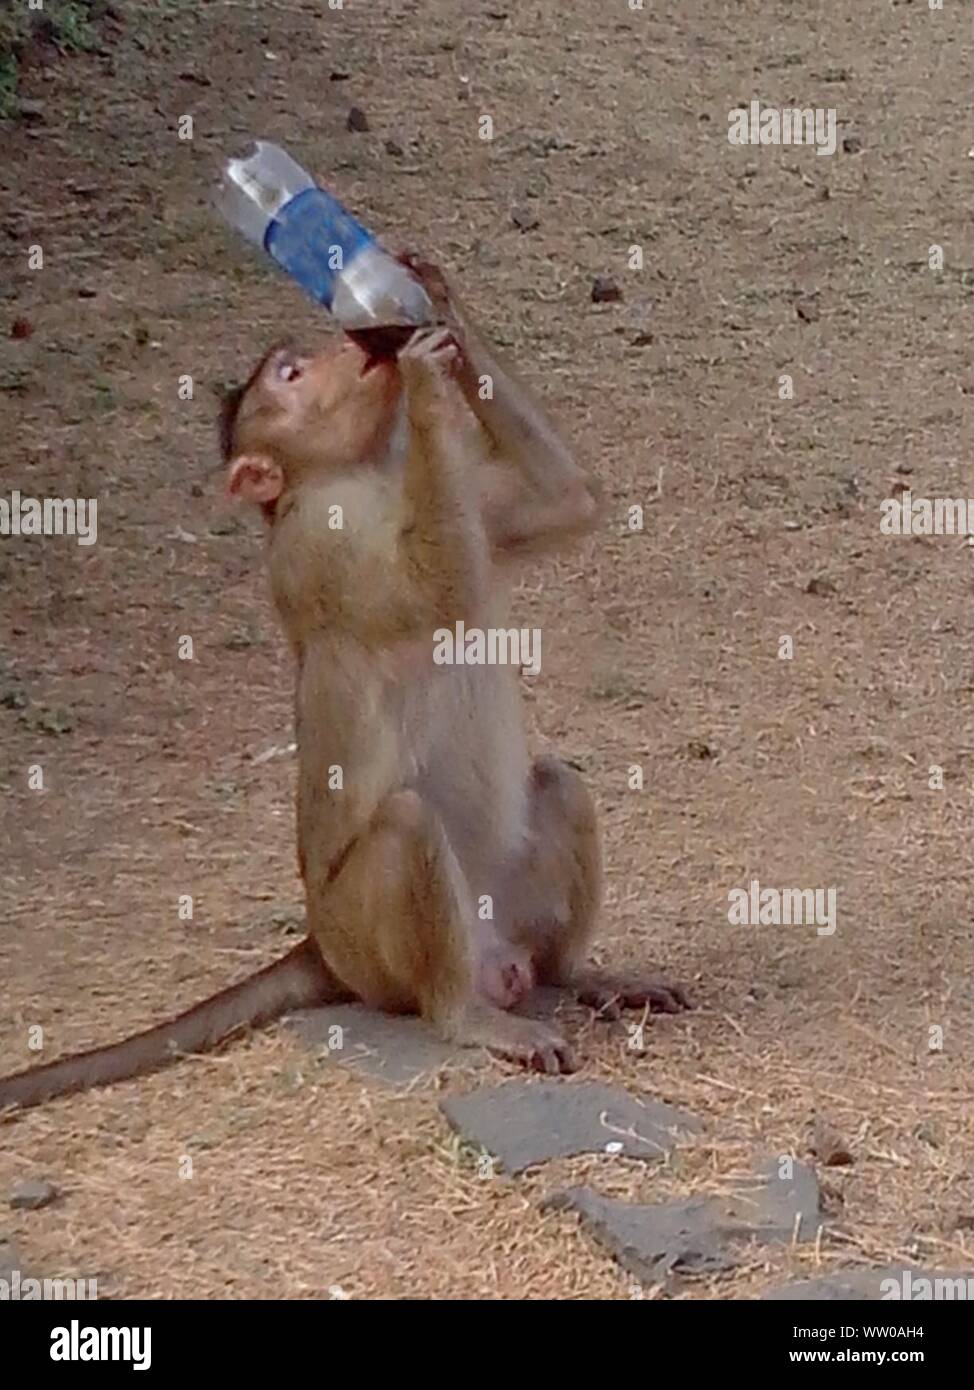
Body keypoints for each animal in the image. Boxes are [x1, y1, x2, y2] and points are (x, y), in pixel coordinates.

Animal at [0, 257, 688, 1112]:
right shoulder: (318, 548)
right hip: (367, 946)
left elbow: (566, 504)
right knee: (406, 827)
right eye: (292, 376)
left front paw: (437, 299)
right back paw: (465, 1016)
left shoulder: (471, 496)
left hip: (506, 902)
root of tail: (318, 945)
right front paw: (424, 378)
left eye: (306, 358)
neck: (358, 473)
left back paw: (579, 974)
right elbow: (439, 586)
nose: (349, 349)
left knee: (559, 782)